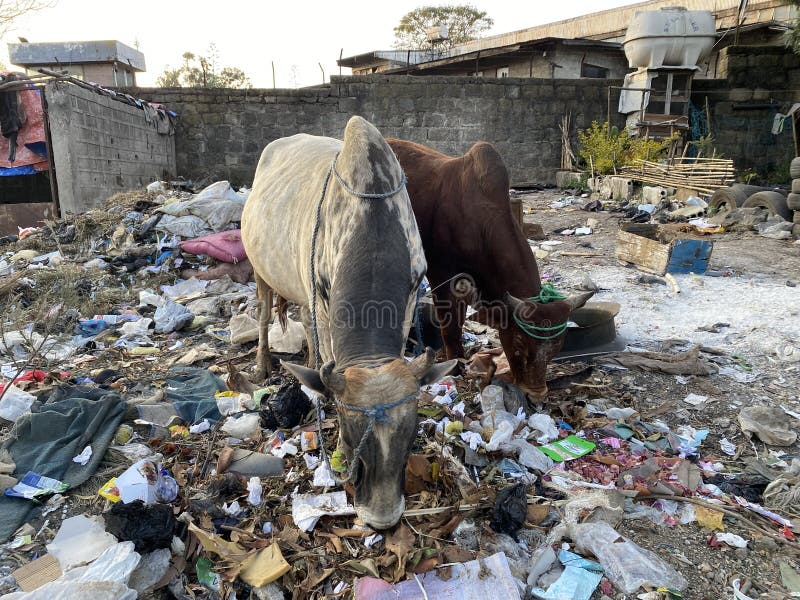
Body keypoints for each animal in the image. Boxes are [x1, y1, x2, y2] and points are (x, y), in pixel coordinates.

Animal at [242, 117, 456, 529]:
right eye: (348, 426)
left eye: (412, 432)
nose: (383, 519)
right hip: (260, 270)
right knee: (263, 315)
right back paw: (263, 364)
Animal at [387, 139, 593, 399]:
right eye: (519, 343)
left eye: (558, 347)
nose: (535, 394)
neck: (477, 219)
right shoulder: (442, 275)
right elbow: (450, 327)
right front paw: (455, 367)